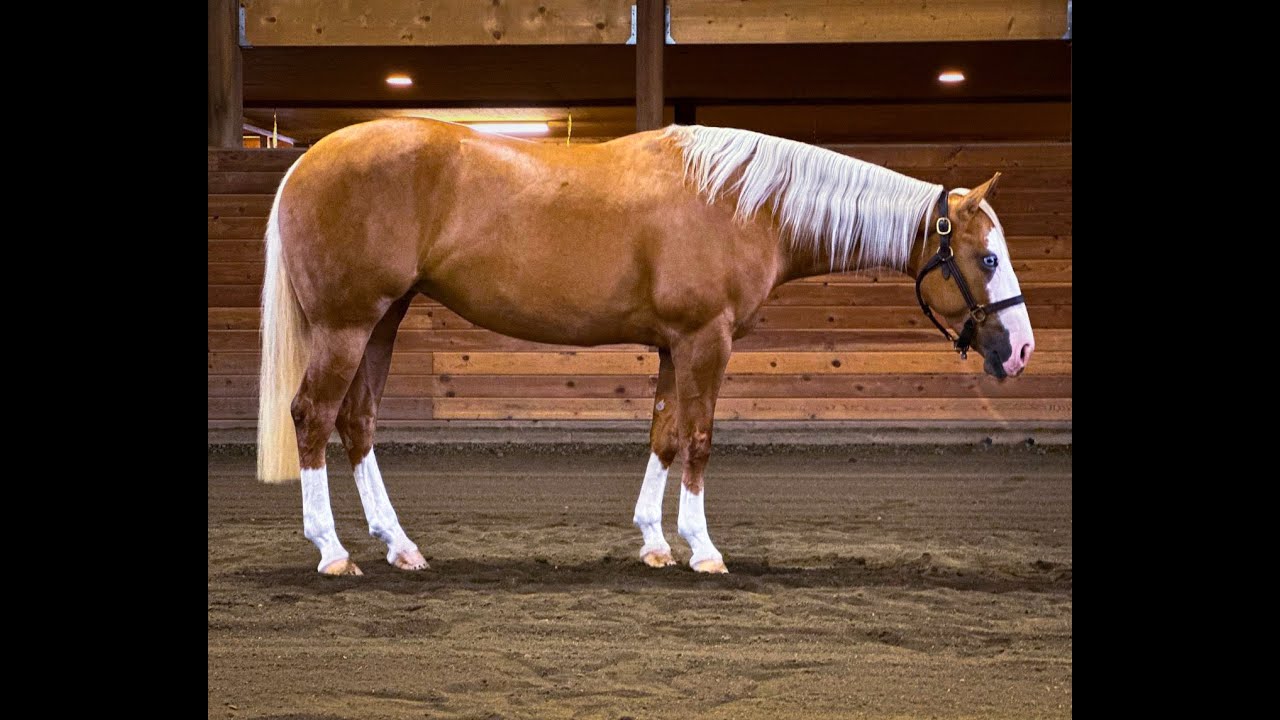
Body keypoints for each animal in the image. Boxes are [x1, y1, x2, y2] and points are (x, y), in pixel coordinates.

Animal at [255, 119, 1035, 576]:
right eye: (988, 258)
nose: (1023, 350)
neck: (742, 201)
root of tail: (305, 163)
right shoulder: (706, 340)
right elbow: (699, 440)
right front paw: (704, 550)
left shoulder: (674, 346)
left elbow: (663, 436)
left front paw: (656, 543)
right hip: (348, 324)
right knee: (313, 418)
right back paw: (333, 552)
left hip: (382, 321)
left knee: (357, 423)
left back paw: (400, 546)